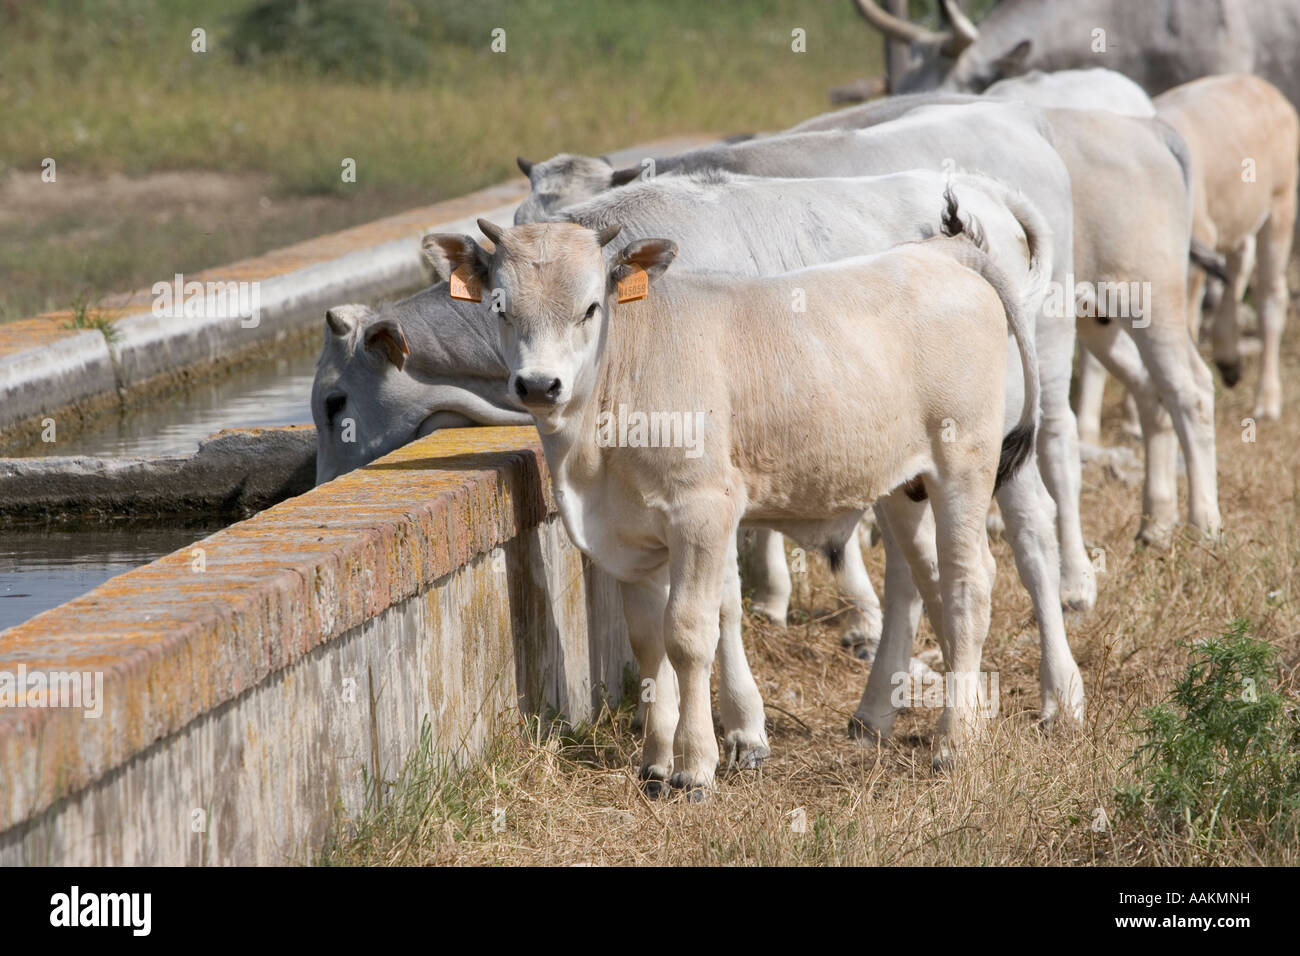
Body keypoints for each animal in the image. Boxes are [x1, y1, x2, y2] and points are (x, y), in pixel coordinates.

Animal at [424, 203, 1044, 789]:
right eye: (500, 307)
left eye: (591, 308)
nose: (538, 385)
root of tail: (938, 252)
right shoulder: (628, 536)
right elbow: (647, 641)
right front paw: (654, 762)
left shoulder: (700, 511)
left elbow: (688, 633)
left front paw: (695, 765)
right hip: (901, 485)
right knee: (924, 581)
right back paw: (924, 716)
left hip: (963, 463)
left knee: (969, 582)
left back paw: (955, 742)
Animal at [1154, 74, 1300, 421]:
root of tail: (1260, 84)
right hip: (1238, 209)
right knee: (1238, 264)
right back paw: (1228, 356)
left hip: (1281, 202)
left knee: (1271, 298)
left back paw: (1267, 398)